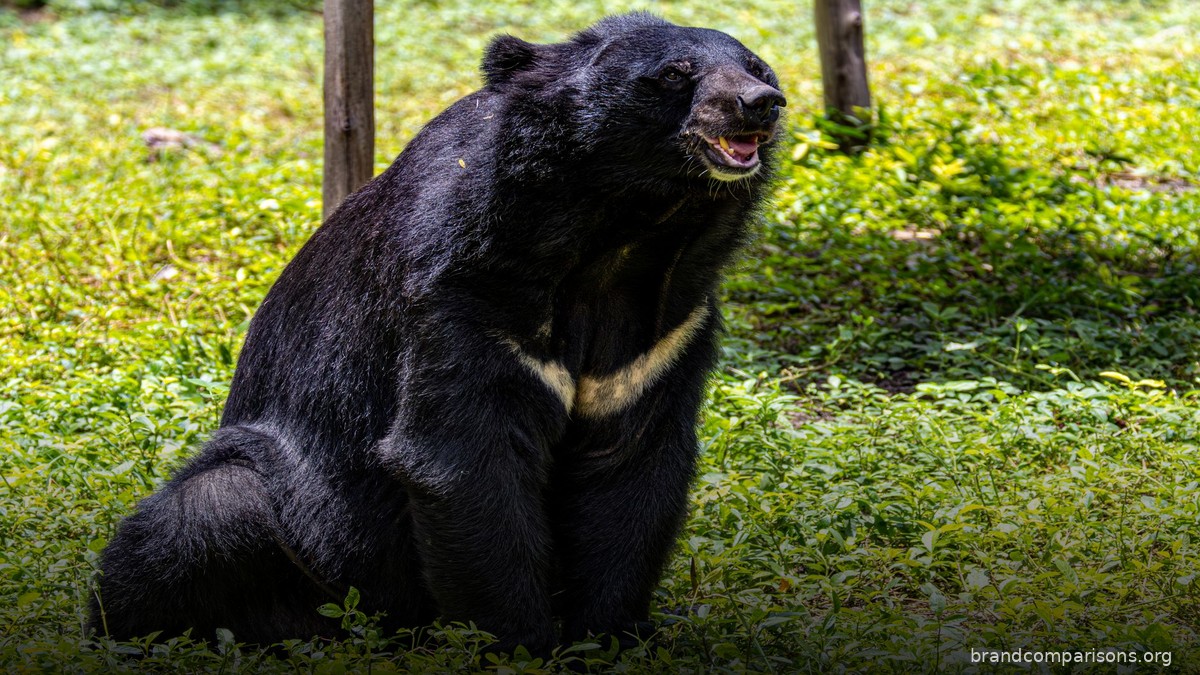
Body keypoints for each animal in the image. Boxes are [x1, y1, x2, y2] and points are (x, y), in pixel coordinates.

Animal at [90, 12, 785, 655]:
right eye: (674, 74)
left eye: (756, 67)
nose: (761, 103)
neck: (623, 234)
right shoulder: (463, 290)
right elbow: (463, 458)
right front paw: (524, 646)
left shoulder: (664, 332)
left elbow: (631, 466)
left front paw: (610, 637)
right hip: (305, 528)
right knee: (202, 515)